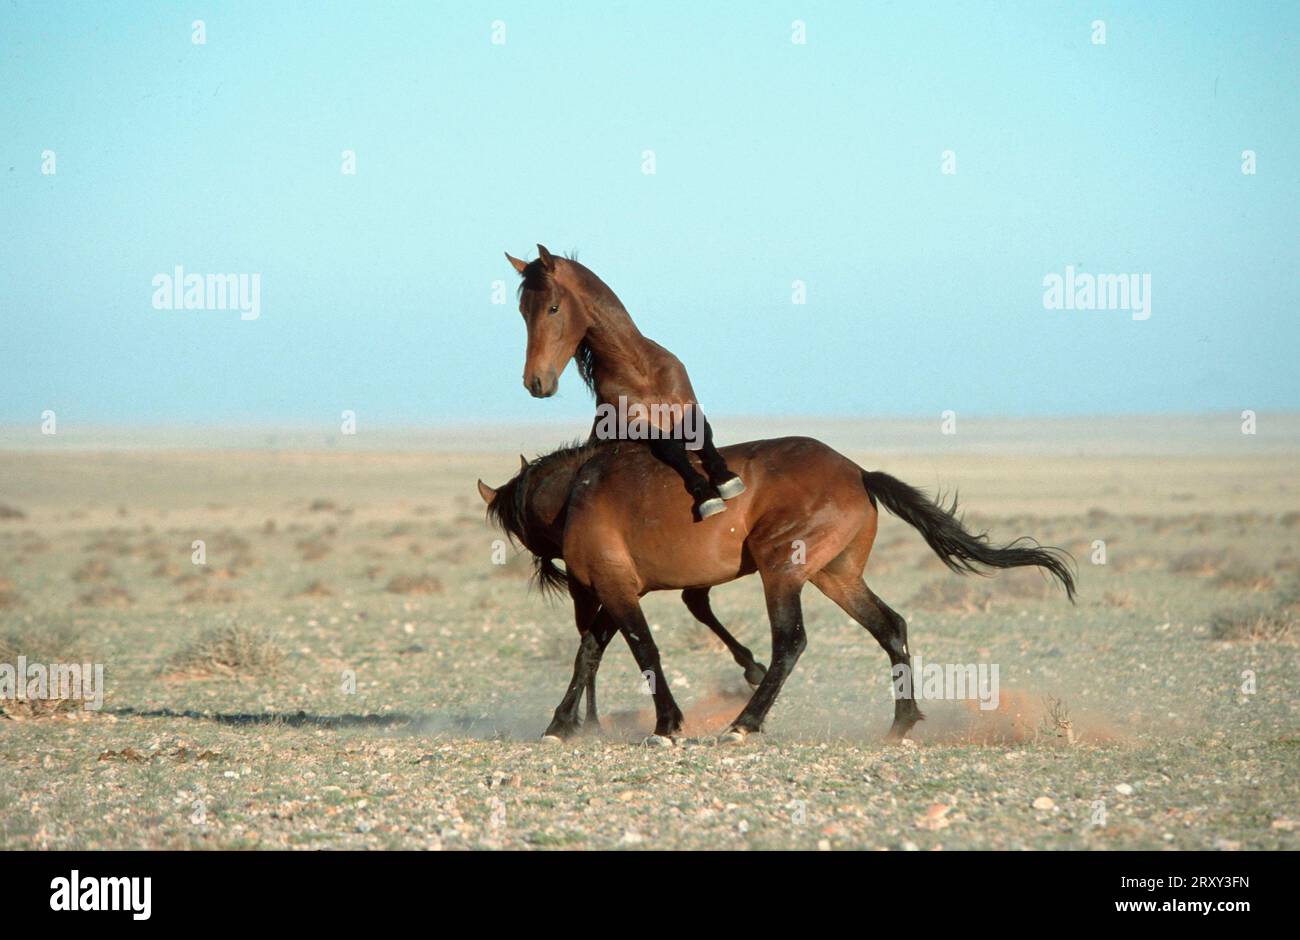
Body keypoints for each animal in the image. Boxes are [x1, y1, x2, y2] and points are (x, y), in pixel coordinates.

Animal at [479, 437, 1076, 743]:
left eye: (513, 525)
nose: (553, 573)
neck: (580, 488)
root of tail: (859, 473)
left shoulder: (614, 588)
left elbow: (639, 651)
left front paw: (667, 725)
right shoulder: (618, 592)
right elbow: (589, 654)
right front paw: (563, 724)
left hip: (781, 573)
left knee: (791, 641)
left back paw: (745, 723)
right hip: (837, 576)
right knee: (891, 627)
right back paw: (901, 723)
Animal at [504, 245, 744, 519]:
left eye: (553, 308)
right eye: (524, 312)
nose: (534, 381)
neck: (640, 372)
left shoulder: (688, 404)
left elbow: (703, 432)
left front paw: (727, 479)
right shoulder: (634, 424)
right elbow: (669, 447)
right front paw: (707, 496)